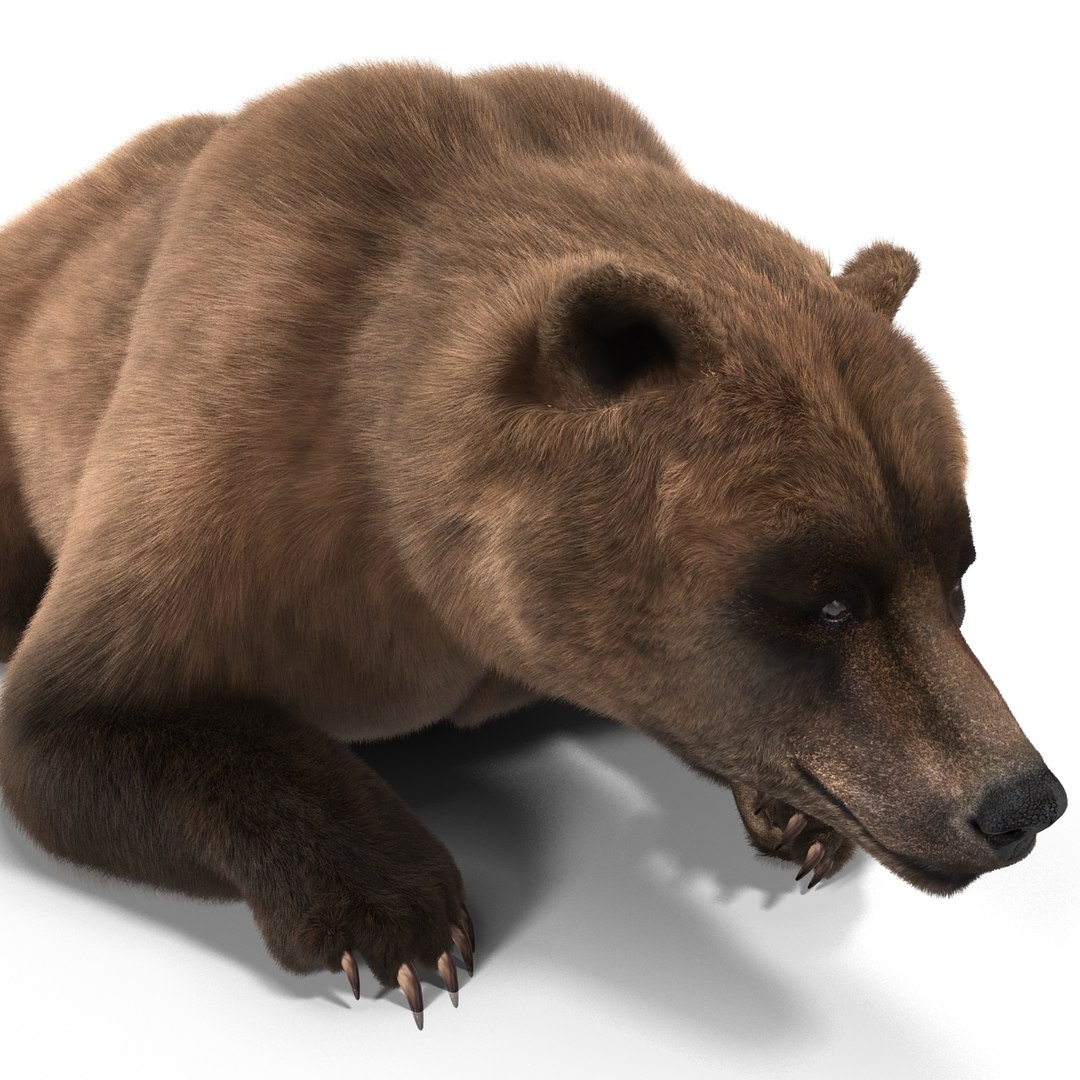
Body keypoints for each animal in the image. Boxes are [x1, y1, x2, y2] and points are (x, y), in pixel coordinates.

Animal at [0, 62, 1067, 1029]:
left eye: (957, 569)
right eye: (830, 598)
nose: (1021, 800)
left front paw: (800, 819)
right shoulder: (241, 448)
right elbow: (83, 715)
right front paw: (400, 920)